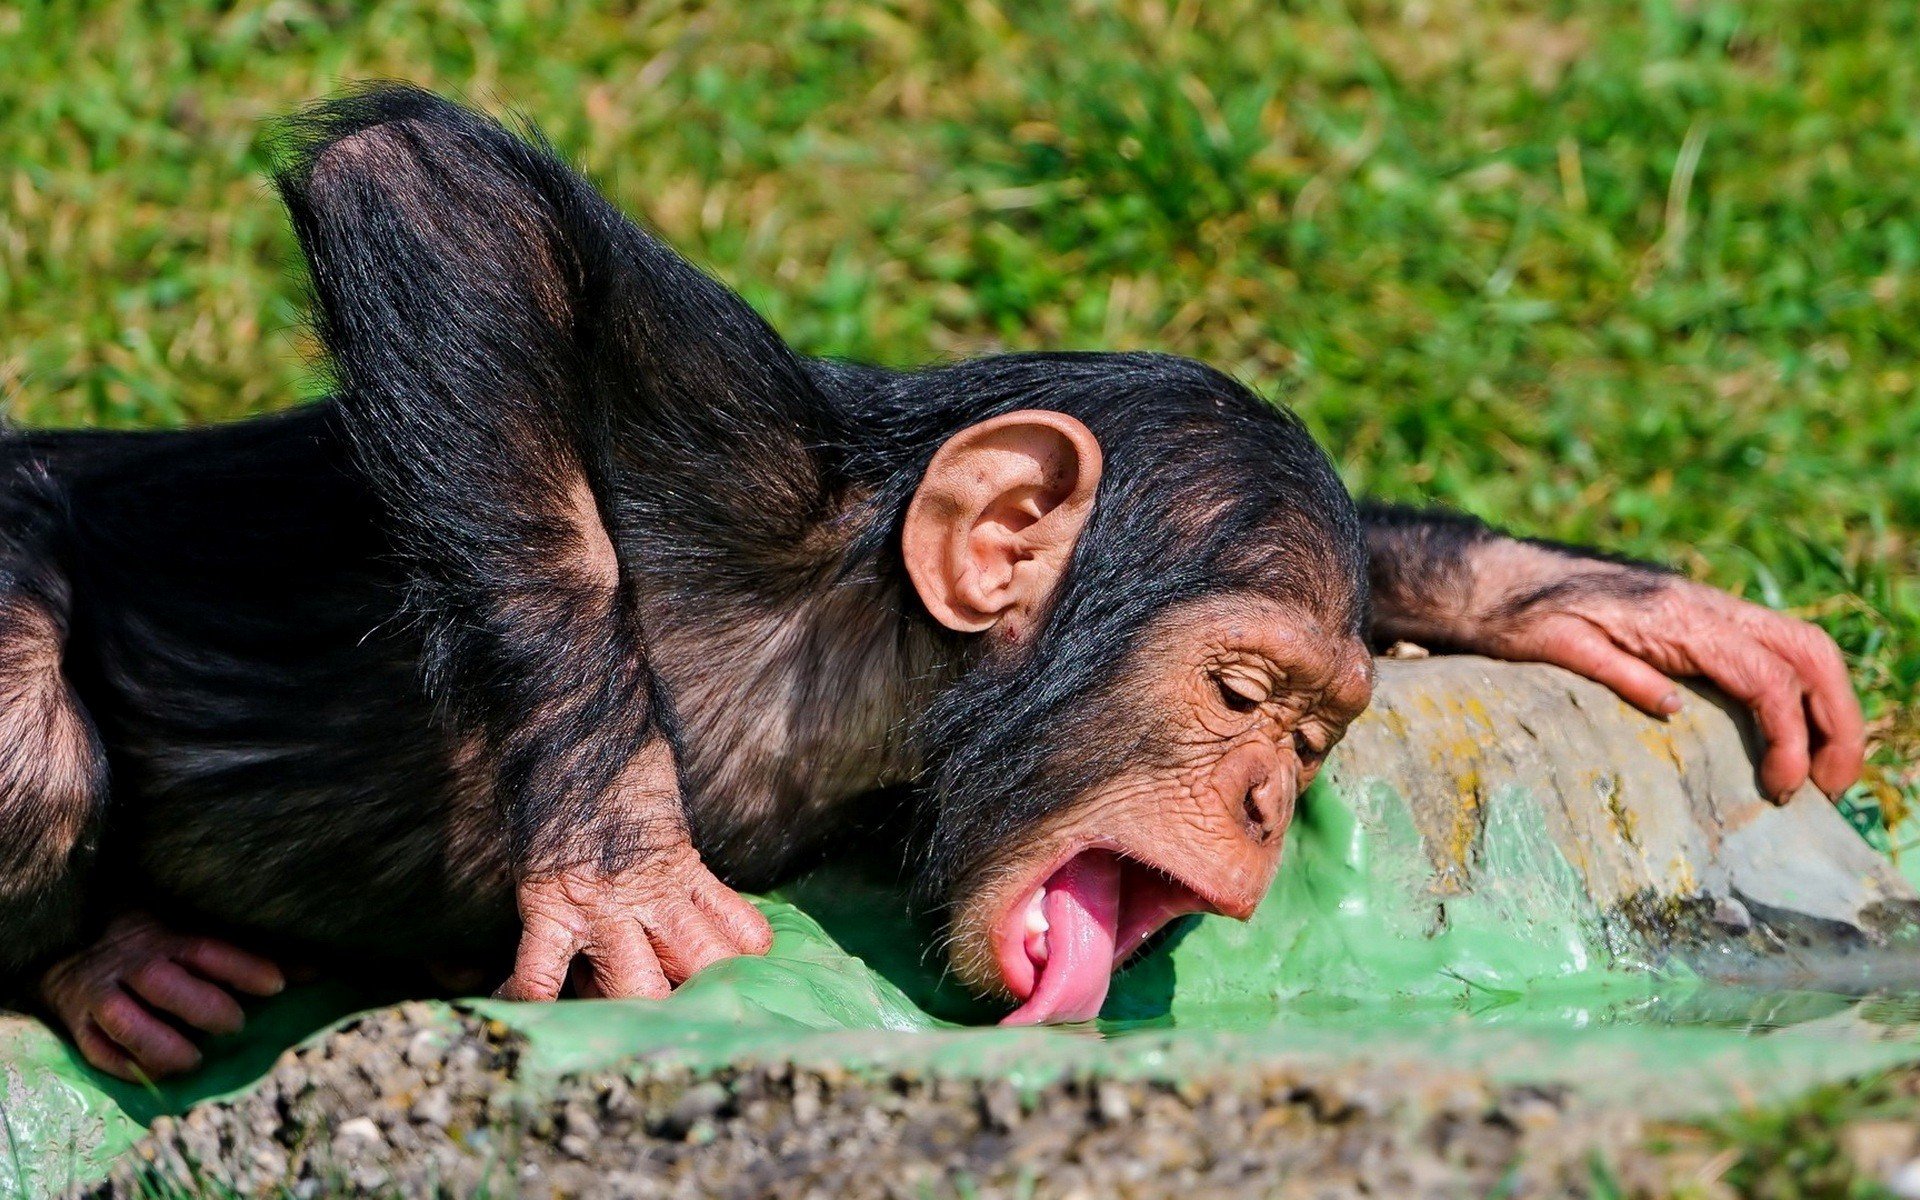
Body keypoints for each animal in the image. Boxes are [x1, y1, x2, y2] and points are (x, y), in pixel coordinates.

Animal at [0, 86, 1863, 1080]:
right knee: (33, 734)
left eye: (1318, 739)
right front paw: (620, 861)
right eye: (1245, 695)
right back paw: (107, 965)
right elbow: (431, 198)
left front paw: (1590, 594)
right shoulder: (735, 457)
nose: (1268, 801)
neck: (864, 662)